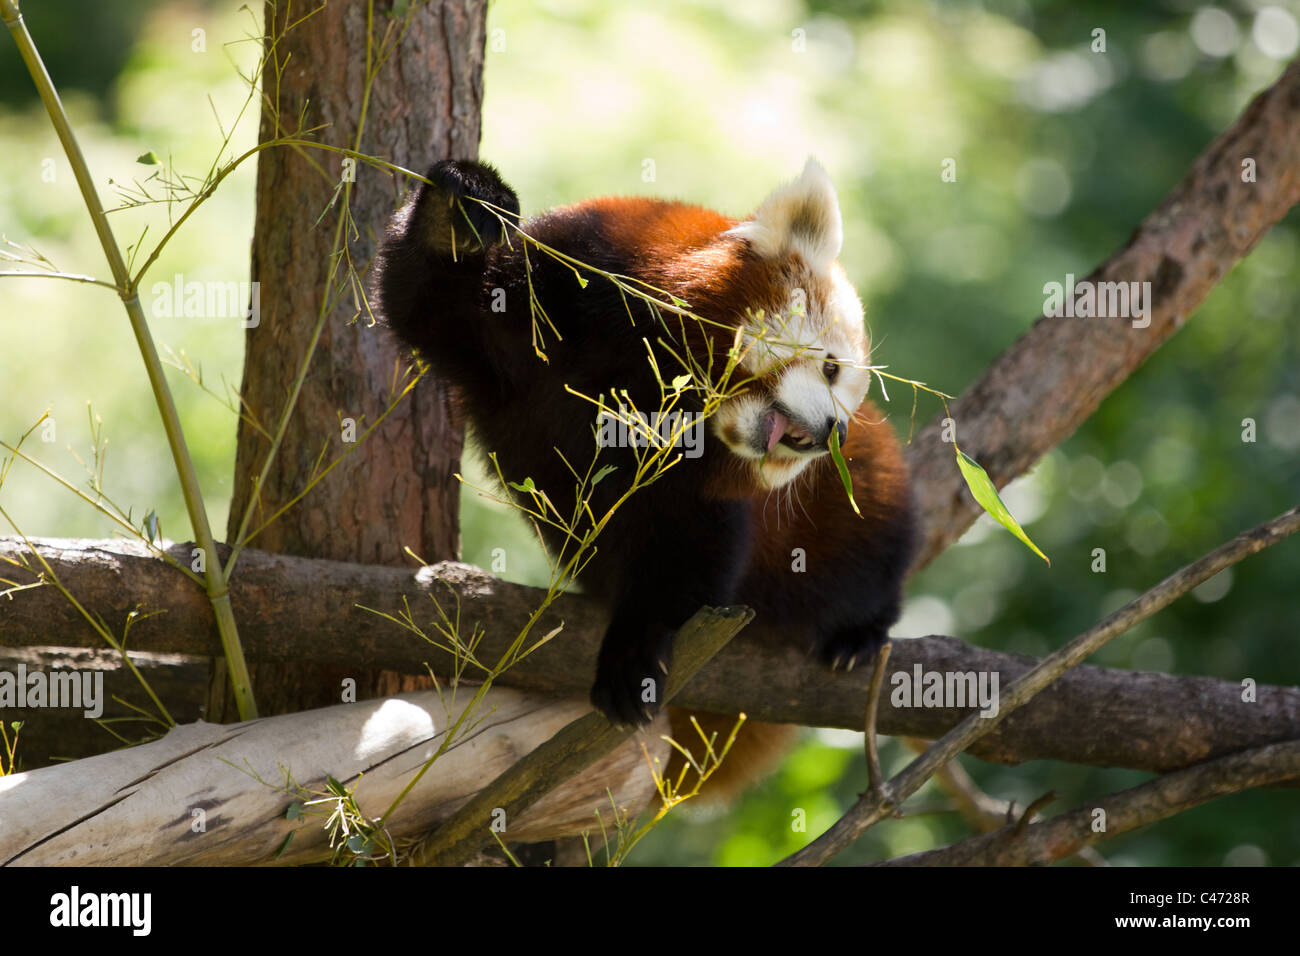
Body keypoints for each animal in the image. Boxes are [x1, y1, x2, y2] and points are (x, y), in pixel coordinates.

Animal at [373, 157, 916, 800]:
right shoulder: (552, 299)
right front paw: (460, 207)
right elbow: (423, 303)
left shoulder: (694, 488)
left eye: (846, 393)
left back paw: (857, 635)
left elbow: (686, 558)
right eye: (831, 368)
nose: (834, 433)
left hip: (867, 504)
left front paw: (633, 660)